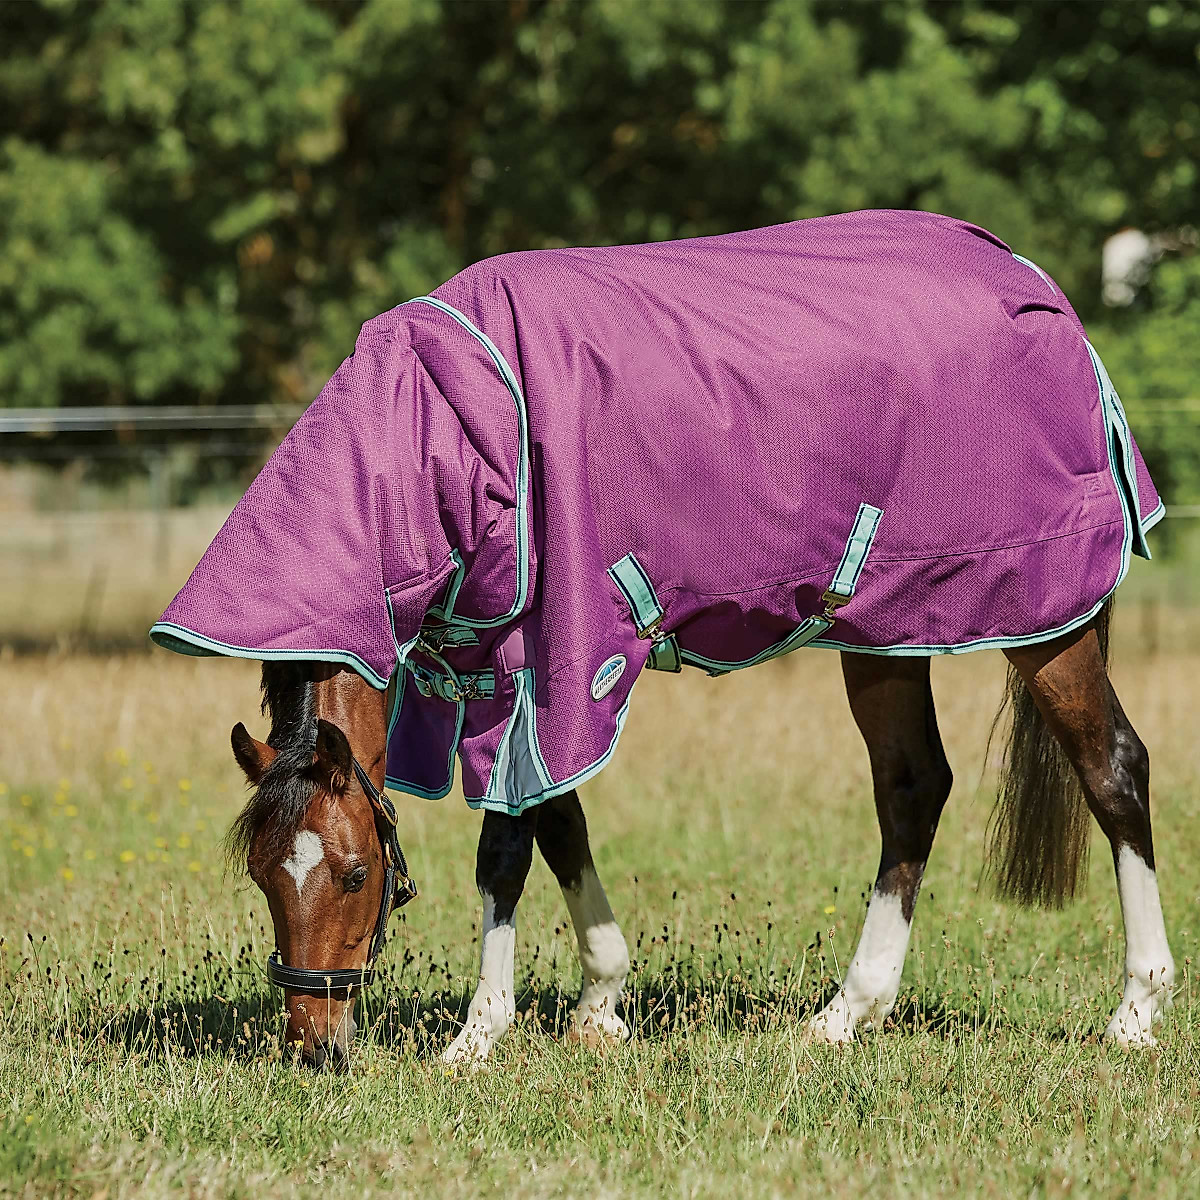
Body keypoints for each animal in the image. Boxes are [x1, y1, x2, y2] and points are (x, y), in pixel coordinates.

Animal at [152, 210, 1175, 1067]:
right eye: (262, 877)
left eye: (357, 873)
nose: (312, 1046)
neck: (451, 433)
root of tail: (1041, 293)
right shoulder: (511, 678)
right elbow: (560, 823)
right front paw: (601, 1002)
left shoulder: (544, 663)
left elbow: (507, 850)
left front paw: (478, 1037)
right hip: (887, 630)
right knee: (913, 789)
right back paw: (847, 1013)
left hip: (1041, 619)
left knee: (1113, 768)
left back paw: (1136, 1009)